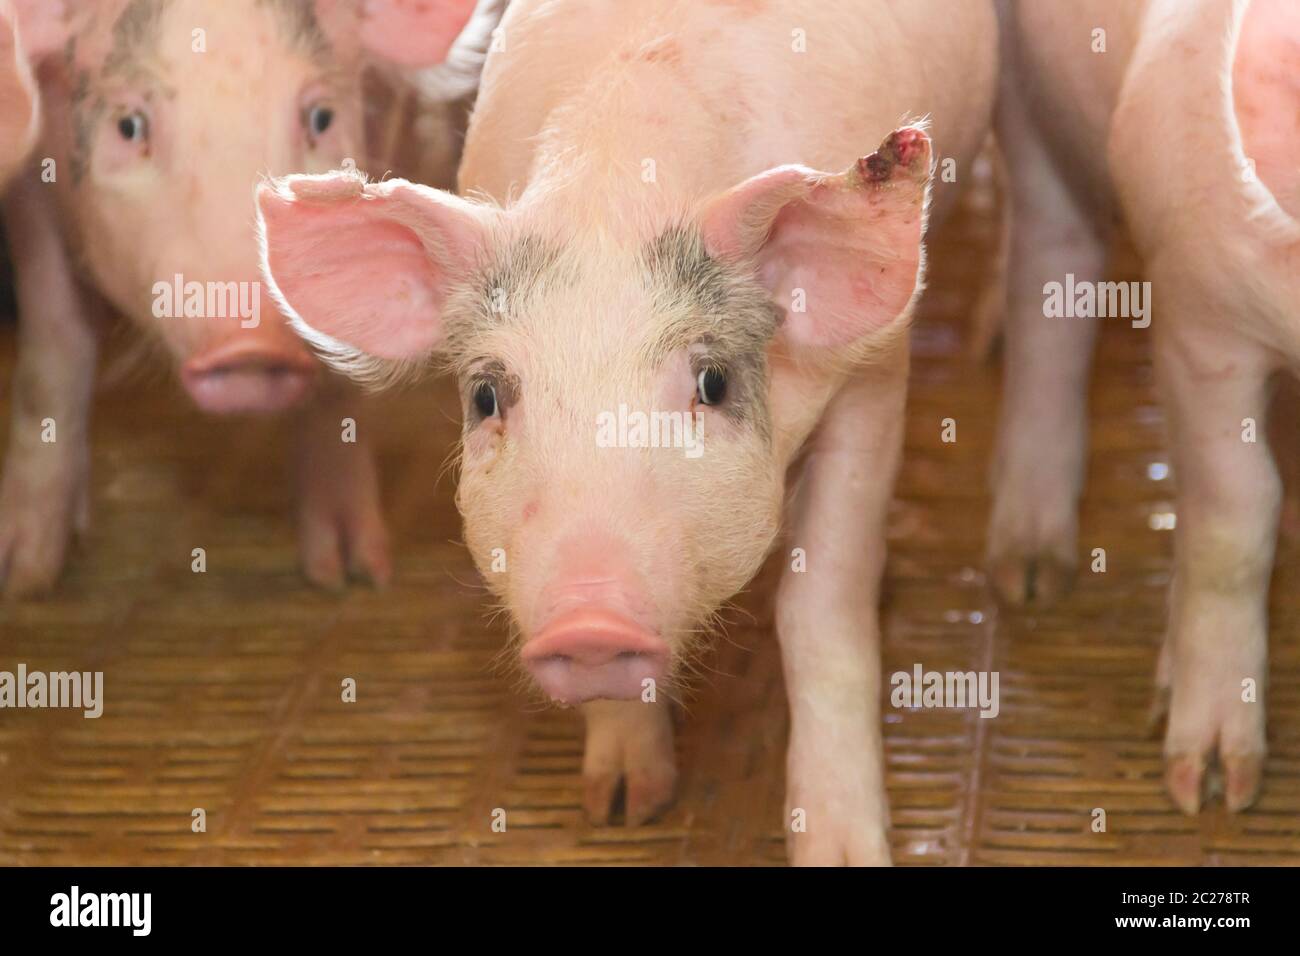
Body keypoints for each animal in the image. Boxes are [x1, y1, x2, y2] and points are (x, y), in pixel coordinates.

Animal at [0, 0, 483, 598]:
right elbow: (54, 351)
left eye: (321, 118)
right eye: (128, 125)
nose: (251, 348)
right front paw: (25, 579)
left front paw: (350, 576)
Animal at [258, 0, 998, 864]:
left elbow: (822, 611)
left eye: (712, 382)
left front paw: (844, 851)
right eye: (485, 396)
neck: (614, 188)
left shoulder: (874, 372)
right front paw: (619, 806)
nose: (589, 621)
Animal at [987, 0, 1300, 812]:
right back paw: (1031, 576)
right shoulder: (1202, 323)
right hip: (1030, 91)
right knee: (1053, 258)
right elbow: (1235, 515)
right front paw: (1211, 786)